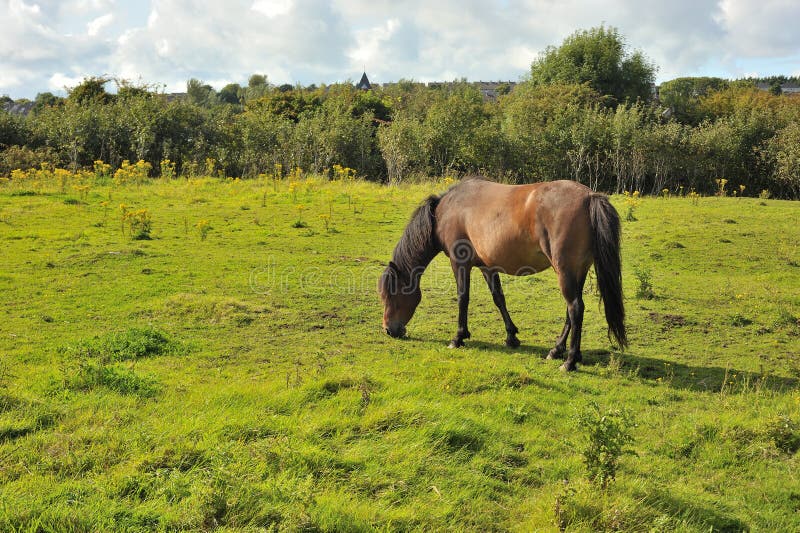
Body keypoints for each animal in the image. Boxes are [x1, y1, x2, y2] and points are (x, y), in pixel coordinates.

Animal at [378, 177, 627, 371]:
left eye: (391, 295)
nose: (389, 330)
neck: (446, 211)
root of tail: (590, 196)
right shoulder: (487, 267)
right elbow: (499, 299)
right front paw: (511, 336)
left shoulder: (459, 263)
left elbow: (462, 298)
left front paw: (458, 337)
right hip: (578, 271)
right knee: (572, 310)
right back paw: (557, 350)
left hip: (565, 270)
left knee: (575, 308)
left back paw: (570, 361)